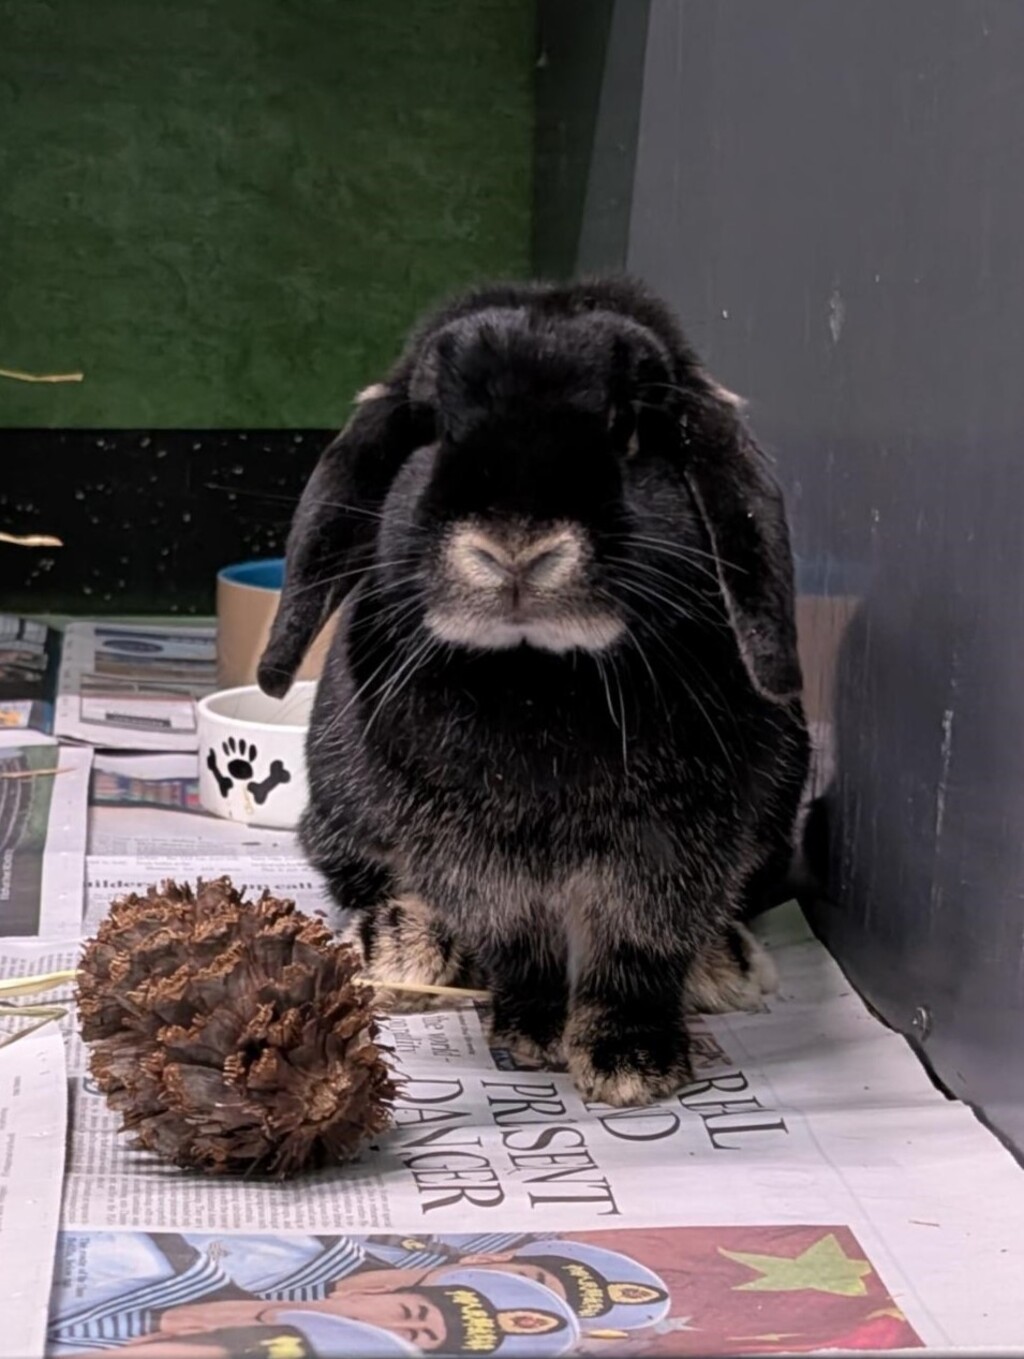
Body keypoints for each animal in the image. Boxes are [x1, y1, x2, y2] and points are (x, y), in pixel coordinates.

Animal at [258, 276, 809, 1106]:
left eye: (628, 431)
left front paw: (631, 1061)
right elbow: (520, 942)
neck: (539, 675)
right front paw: (533, 1032)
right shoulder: (477, 855)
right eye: (433, 427)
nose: (515, 547)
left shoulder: (672, 849)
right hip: (341, 819)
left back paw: (727, 965)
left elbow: (638, 950)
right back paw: (399, 945)